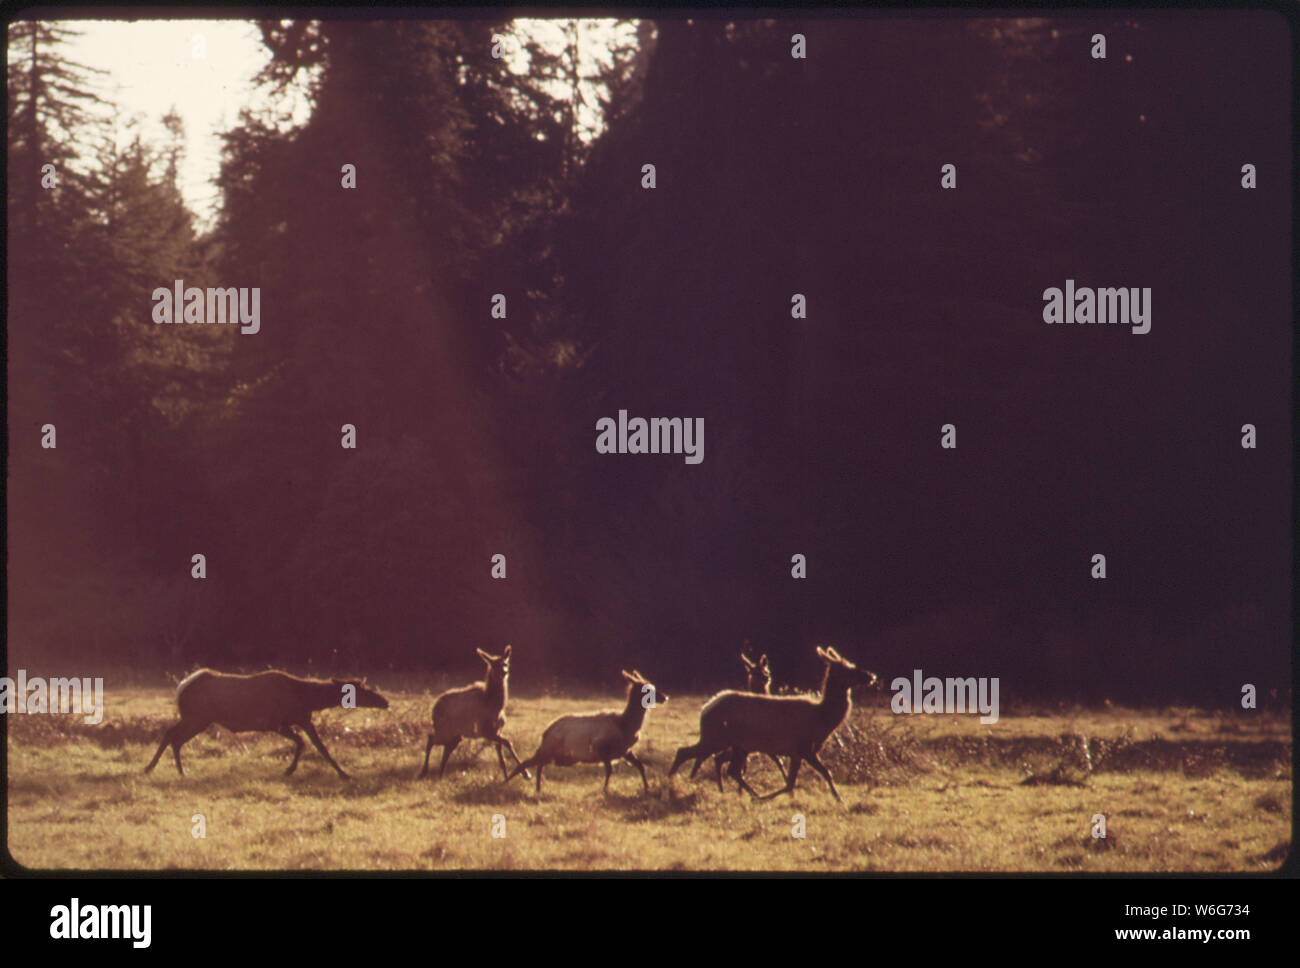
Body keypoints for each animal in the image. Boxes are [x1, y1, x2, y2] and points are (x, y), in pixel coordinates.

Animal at [143, 668, 389, 779]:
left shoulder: (303, 720)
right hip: (197, 717)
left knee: (172, 736)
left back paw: (171, 770)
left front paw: (343, 773)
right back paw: (158, 768)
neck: (306, 698)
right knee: (172, 735)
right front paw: (290, 770)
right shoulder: (276, 722)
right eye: (363, 689)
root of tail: (180, 687)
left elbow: (319, 747)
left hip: (196, 718)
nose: (385, 700)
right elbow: (307, 744)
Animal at [418, 645, 529, 781]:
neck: (495, 706)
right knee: (431, 738)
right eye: (494, 665)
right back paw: (424, 772)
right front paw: (525, 773)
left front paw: (507, 778)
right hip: (444, 730)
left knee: (446, 748)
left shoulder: (497, 731)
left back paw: (440, 774)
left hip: (456, 735)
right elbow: (508, 742)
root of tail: (434, 708)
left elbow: (502, 757)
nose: (504, 672)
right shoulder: (486, 731)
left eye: (505, 663)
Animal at [504, 670, 666, 794]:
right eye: (648, 689)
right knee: (526, 763)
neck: (626, 726)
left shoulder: (625, 751)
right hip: (548, 749)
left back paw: (537, 788)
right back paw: (505, 782)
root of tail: (546, 732)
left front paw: (647, 789)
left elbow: (641, 766)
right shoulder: (602, 747)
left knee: (537, 765)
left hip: (551, 753)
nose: (665, 697)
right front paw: (605, 790)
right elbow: (610, 771)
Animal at [669, 647, 877, 802]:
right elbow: (825, 773)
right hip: (717, 737)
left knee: (730, 768)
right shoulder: (804, 747)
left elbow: (791, 782)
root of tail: (705, 709)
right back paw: (671, 785)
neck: (822, 720)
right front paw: (839, 799)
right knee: (685, 752)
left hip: (738, 745)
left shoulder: (797, 752)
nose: (870, 675)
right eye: (847, 668)